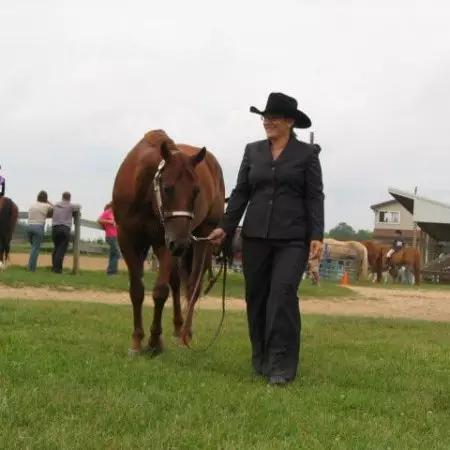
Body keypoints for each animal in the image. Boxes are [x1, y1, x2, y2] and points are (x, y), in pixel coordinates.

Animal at [112, 127, 225, 356]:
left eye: (196, 191)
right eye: (167, 188)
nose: (180, 243)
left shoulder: (164, 243)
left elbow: (160, 291)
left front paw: (155, 341)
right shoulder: (128, 239)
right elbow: (137, 290)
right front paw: (136, 341)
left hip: (203, 239)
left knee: (192, 285)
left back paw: (185, 336)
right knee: (177, 283)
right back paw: (177, 327)